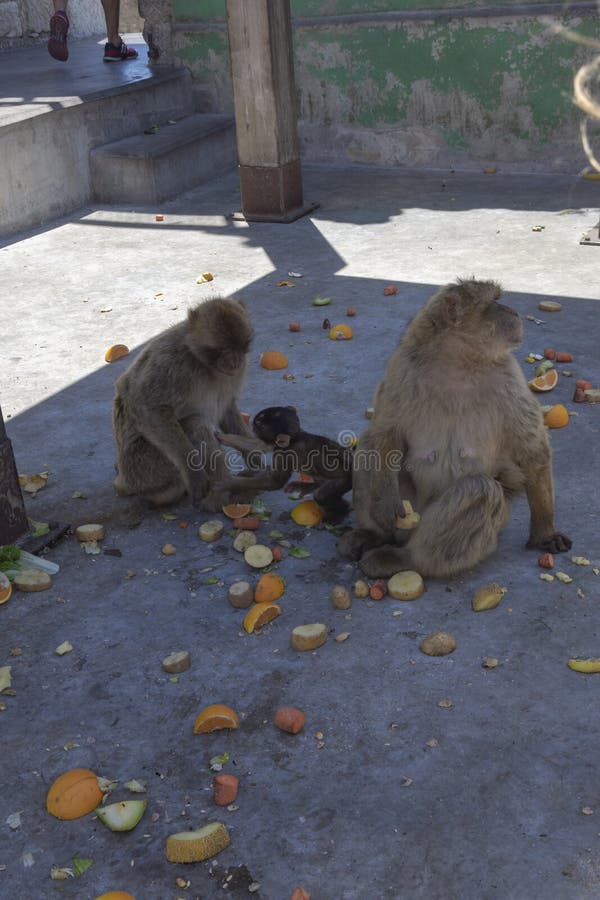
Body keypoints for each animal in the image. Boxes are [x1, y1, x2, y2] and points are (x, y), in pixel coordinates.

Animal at [112, 296, 253, 508]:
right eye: (223, 349)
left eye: (241, 346)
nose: (235, 361)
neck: (204, 364)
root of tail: (124, 480)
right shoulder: (174, 363)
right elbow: (142, 402)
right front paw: (193, 472)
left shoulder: (237, 372)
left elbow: (227, 407)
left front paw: (254, 457)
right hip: (144, 470)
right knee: (194, 423)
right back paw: (217, 500)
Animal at [208, 405, 353, 523]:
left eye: (260, 425)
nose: (253, 425)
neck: (295, 438)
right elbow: (257, 445)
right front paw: (221, 437)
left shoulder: (284, 454)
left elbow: (275, 482)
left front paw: (229, 483)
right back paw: (310, 486)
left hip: (344, 481)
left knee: (322, 495)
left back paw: (341, 512)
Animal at [338, 278, 572, 578]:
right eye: (494, 302)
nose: (514, 312)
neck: (457, 362)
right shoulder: (402, 368)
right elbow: (385, 434)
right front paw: (384, 504)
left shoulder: (508, 378)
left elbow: (532, 451)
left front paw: (544, 533)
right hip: (411, 507)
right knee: (368, 444)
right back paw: (373, 534)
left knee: (481, 489)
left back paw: (406, 559)